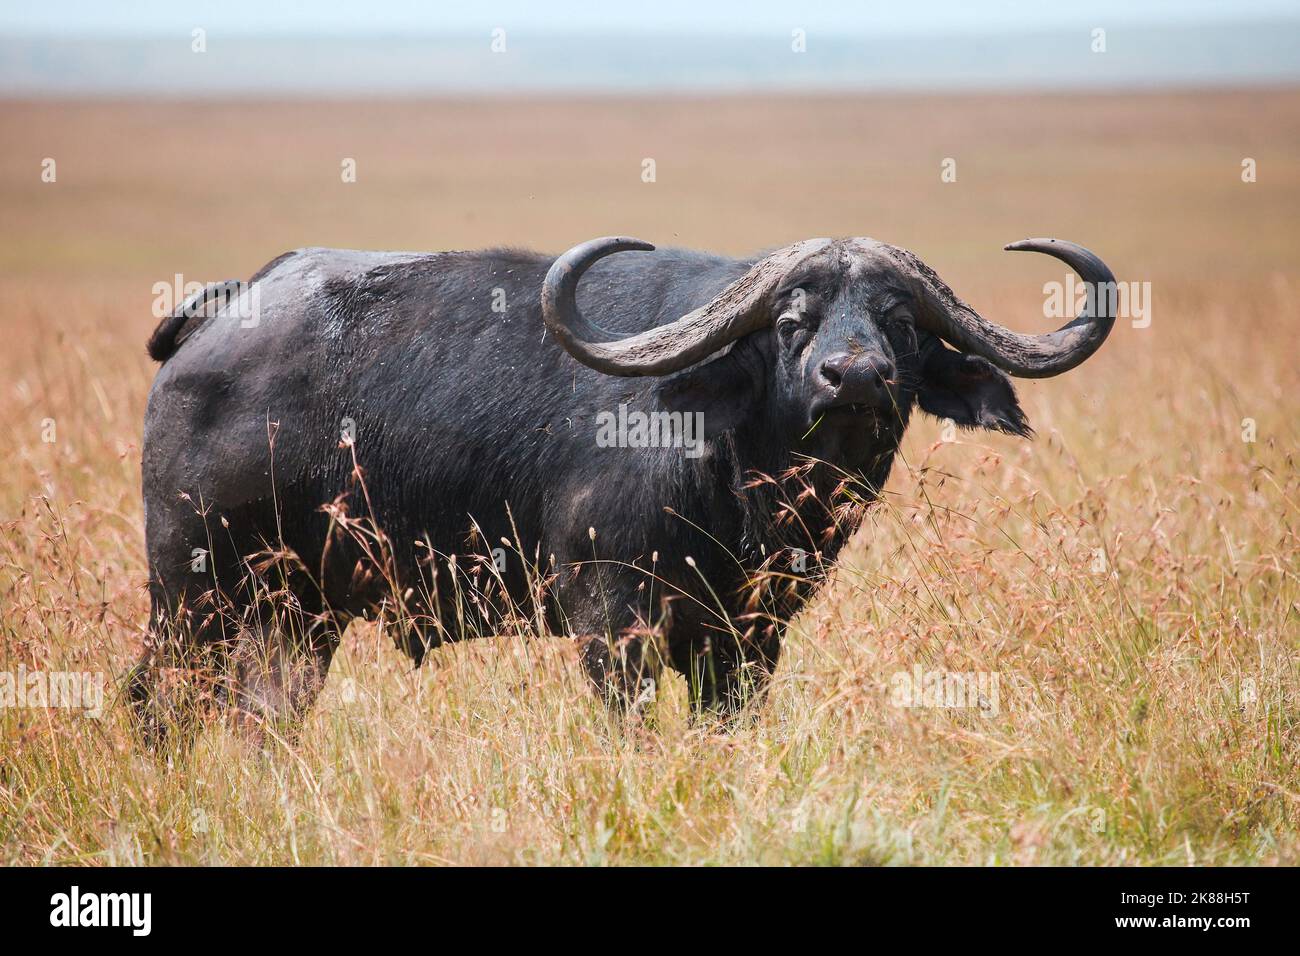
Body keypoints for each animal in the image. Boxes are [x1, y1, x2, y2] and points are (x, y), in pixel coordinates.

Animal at [129, 235, 1114, 746]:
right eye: (791, 320)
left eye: (901, 323)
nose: (856, 377)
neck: (737, 473)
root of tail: (225, 312)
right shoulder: (611, 616)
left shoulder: (750, 636)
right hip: (194, 590)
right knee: (153, 699)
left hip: (298, 613)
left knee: (264, 714)